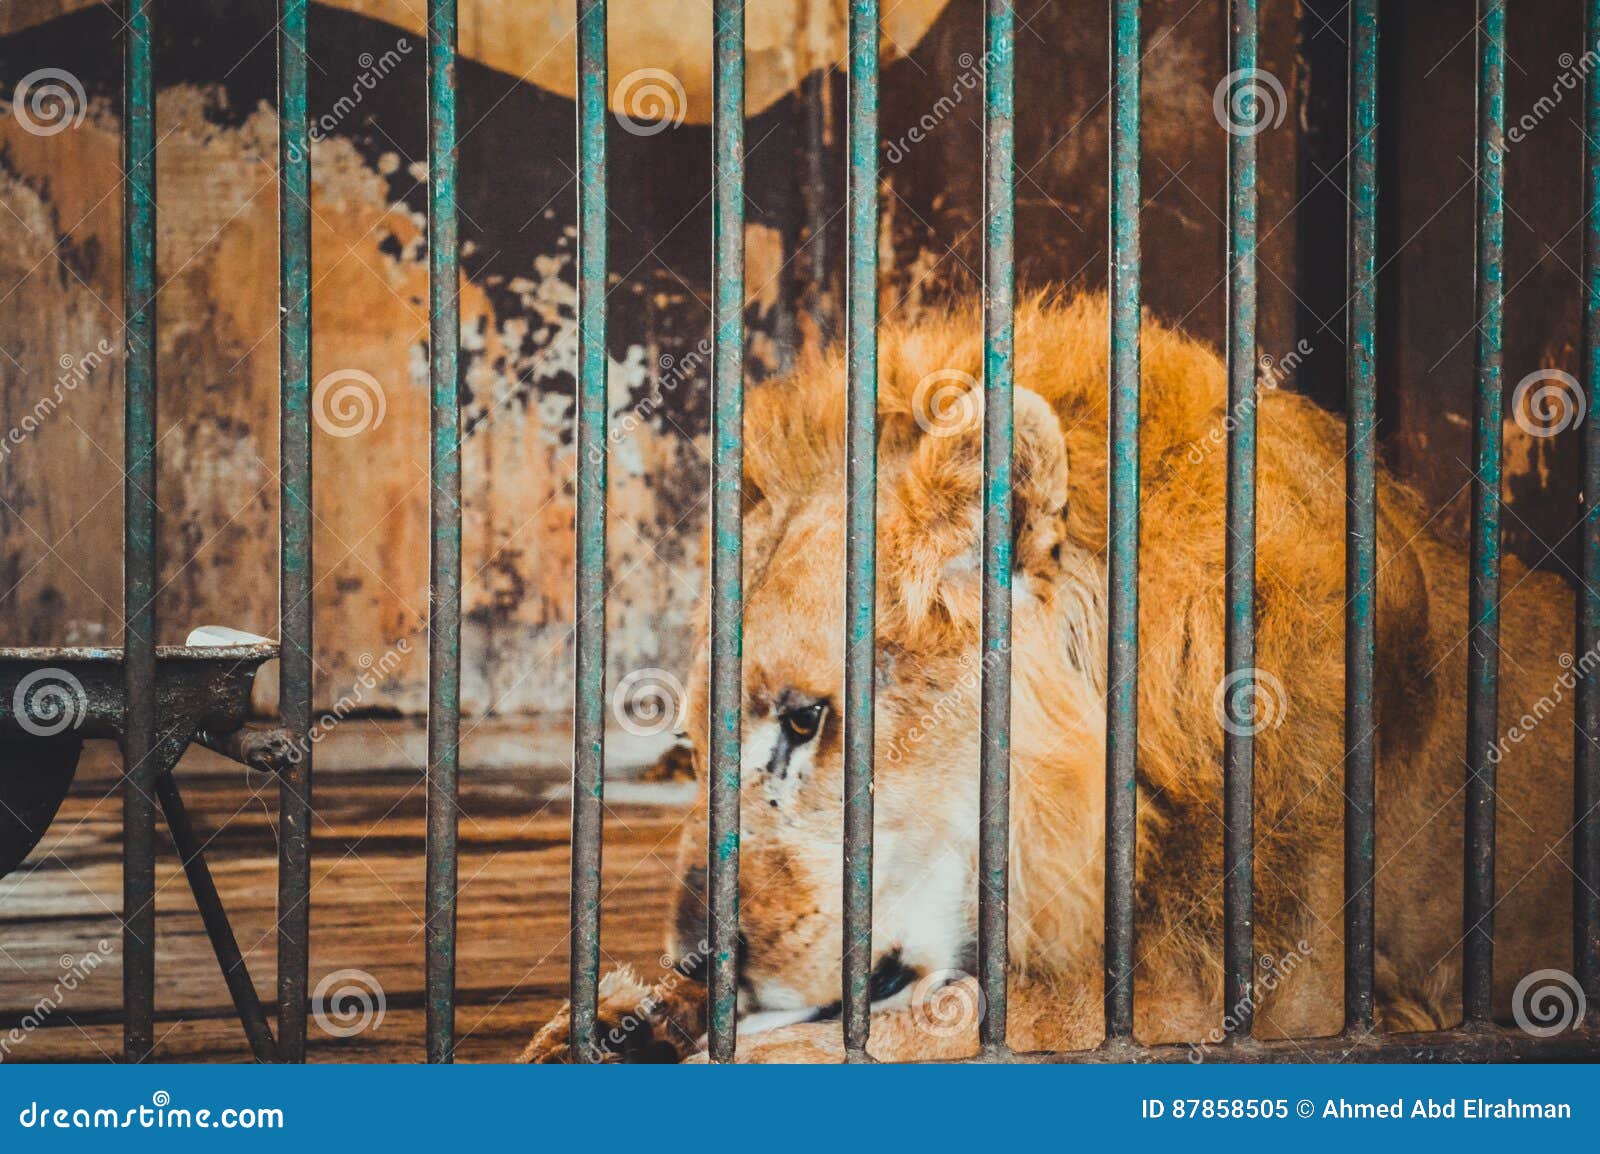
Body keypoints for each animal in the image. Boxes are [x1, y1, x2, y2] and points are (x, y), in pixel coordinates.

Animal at [522, 292, 1576, 1063]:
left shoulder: (1276, 993)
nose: (696, 960)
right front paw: (621, 1014)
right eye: (692, 750)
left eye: (807, 719)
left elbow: (961, 1018)